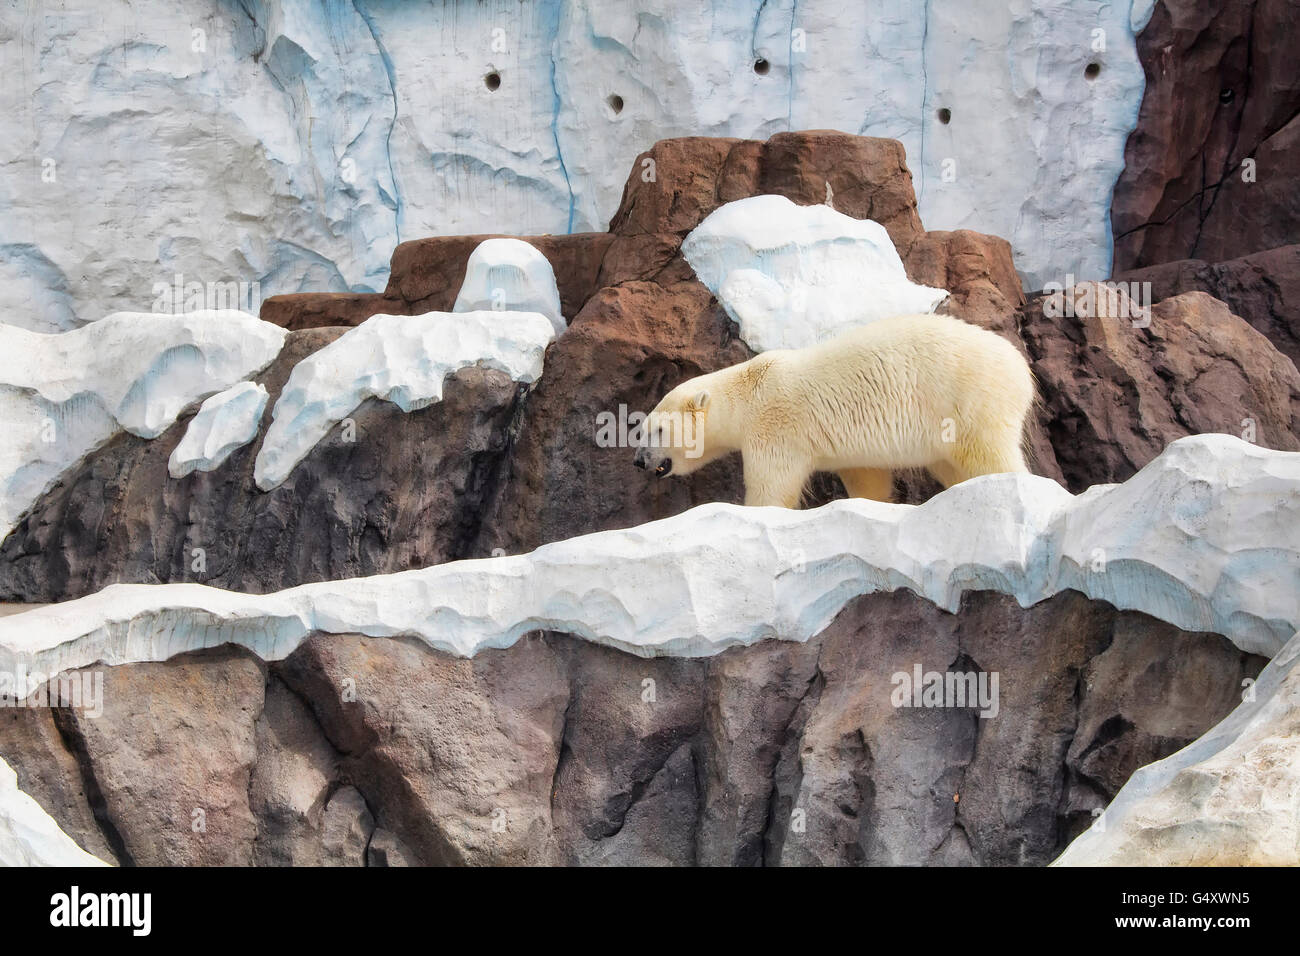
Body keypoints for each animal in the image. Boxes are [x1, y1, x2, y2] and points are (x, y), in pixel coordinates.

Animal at [632, 313, 1034, 507]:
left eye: (658, 430)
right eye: (643, 429)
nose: (638, 461)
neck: (748, 391)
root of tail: (1020, 367)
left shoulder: (774, 429)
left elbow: (772, 488)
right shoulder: (852, 450)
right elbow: (866, 477)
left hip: (968, 398)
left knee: (988, 453)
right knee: (950, 463)